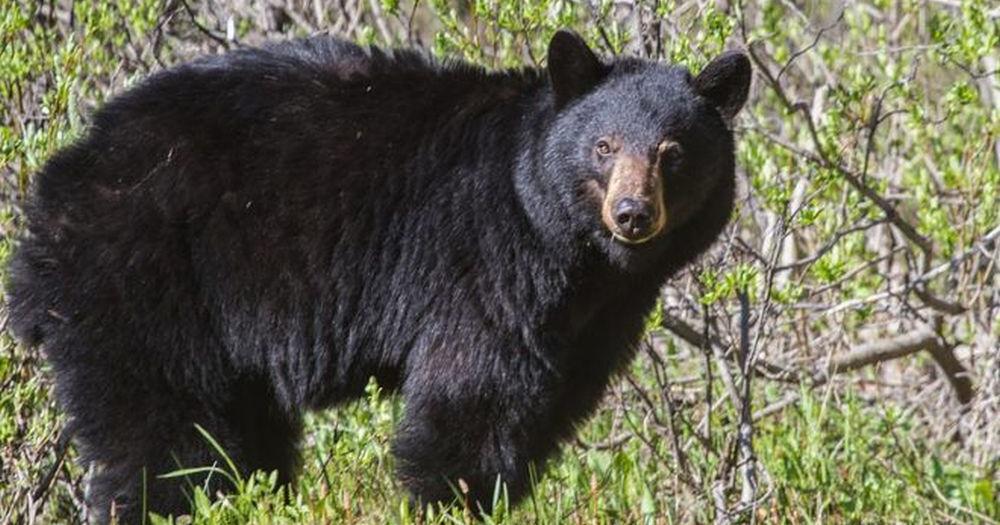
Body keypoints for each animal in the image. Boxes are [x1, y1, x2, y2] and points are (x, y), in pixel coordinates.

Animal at [7, 30, 750, 522]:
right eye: (603, 146)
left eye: (673, 152)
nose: (632, 213)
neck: (572, 253)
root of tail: (54, 187)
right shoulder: (485, 265)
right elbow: (469, 398)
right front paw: (451, 500)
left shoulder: (595, 320)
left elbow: (549, 406)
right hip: (147, 281)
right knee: (161, 433)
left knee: (242, 431)